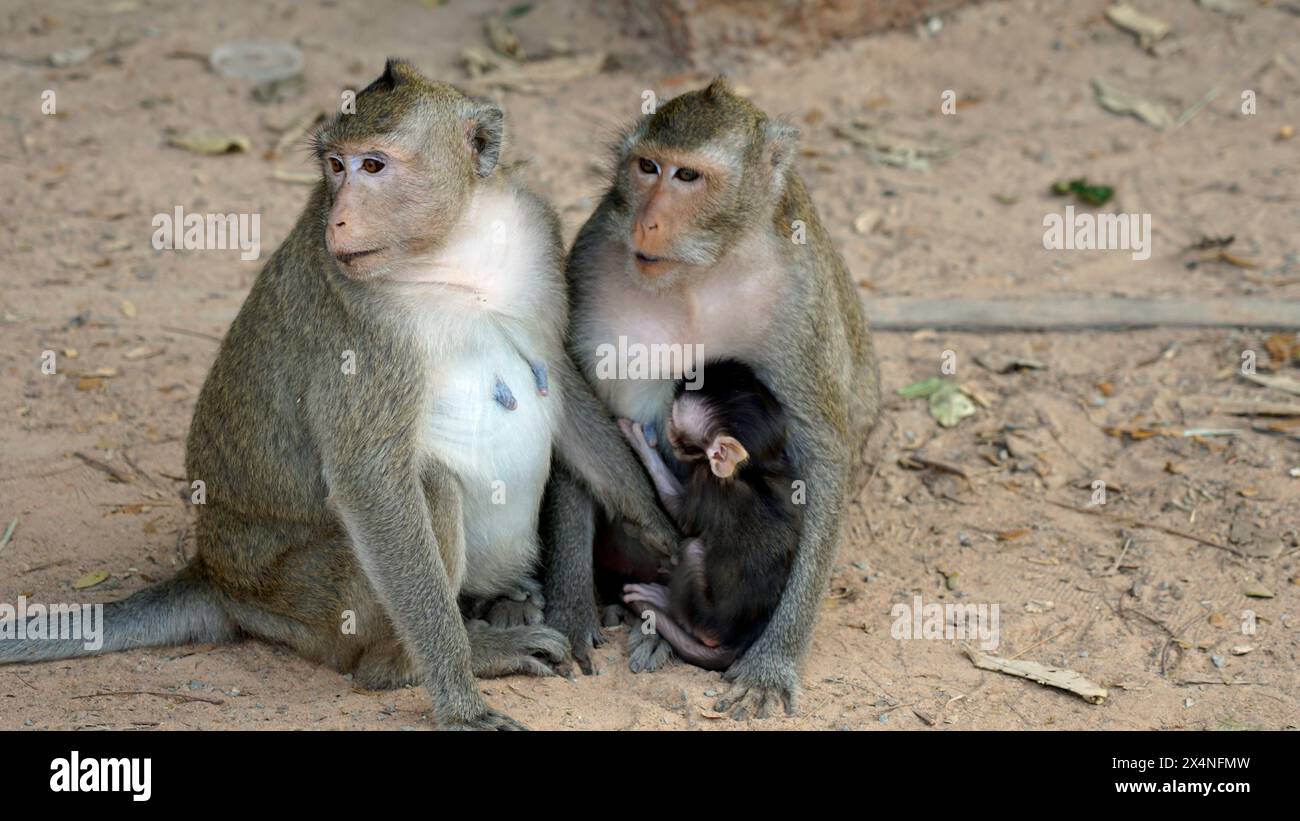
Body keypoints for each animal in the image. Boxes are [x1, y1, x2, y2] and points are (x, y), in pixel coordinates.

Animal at [0, 59, 679, 731]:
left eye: (373, 165)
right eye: (335, 165)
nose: (340, 218)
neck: (451, 249)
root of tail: (215, 571)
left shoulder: (537, 237)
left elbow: (559, 379)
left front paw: (656, 524)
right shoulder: (358, 325)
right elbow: (372, 481)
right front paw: (460, 701)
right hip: (305, 597)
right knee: (426, 491)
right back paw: (431, 659)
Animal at [617, 358, 800, 671]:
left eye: (676, 427)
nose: (667, 430)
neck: (754, 469)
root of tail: (736, 640)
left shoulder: (707, 481)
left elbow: (684, 519)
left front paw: (642, 447)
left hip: (705, 619)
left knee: (692, 550)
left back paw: (663, 601)